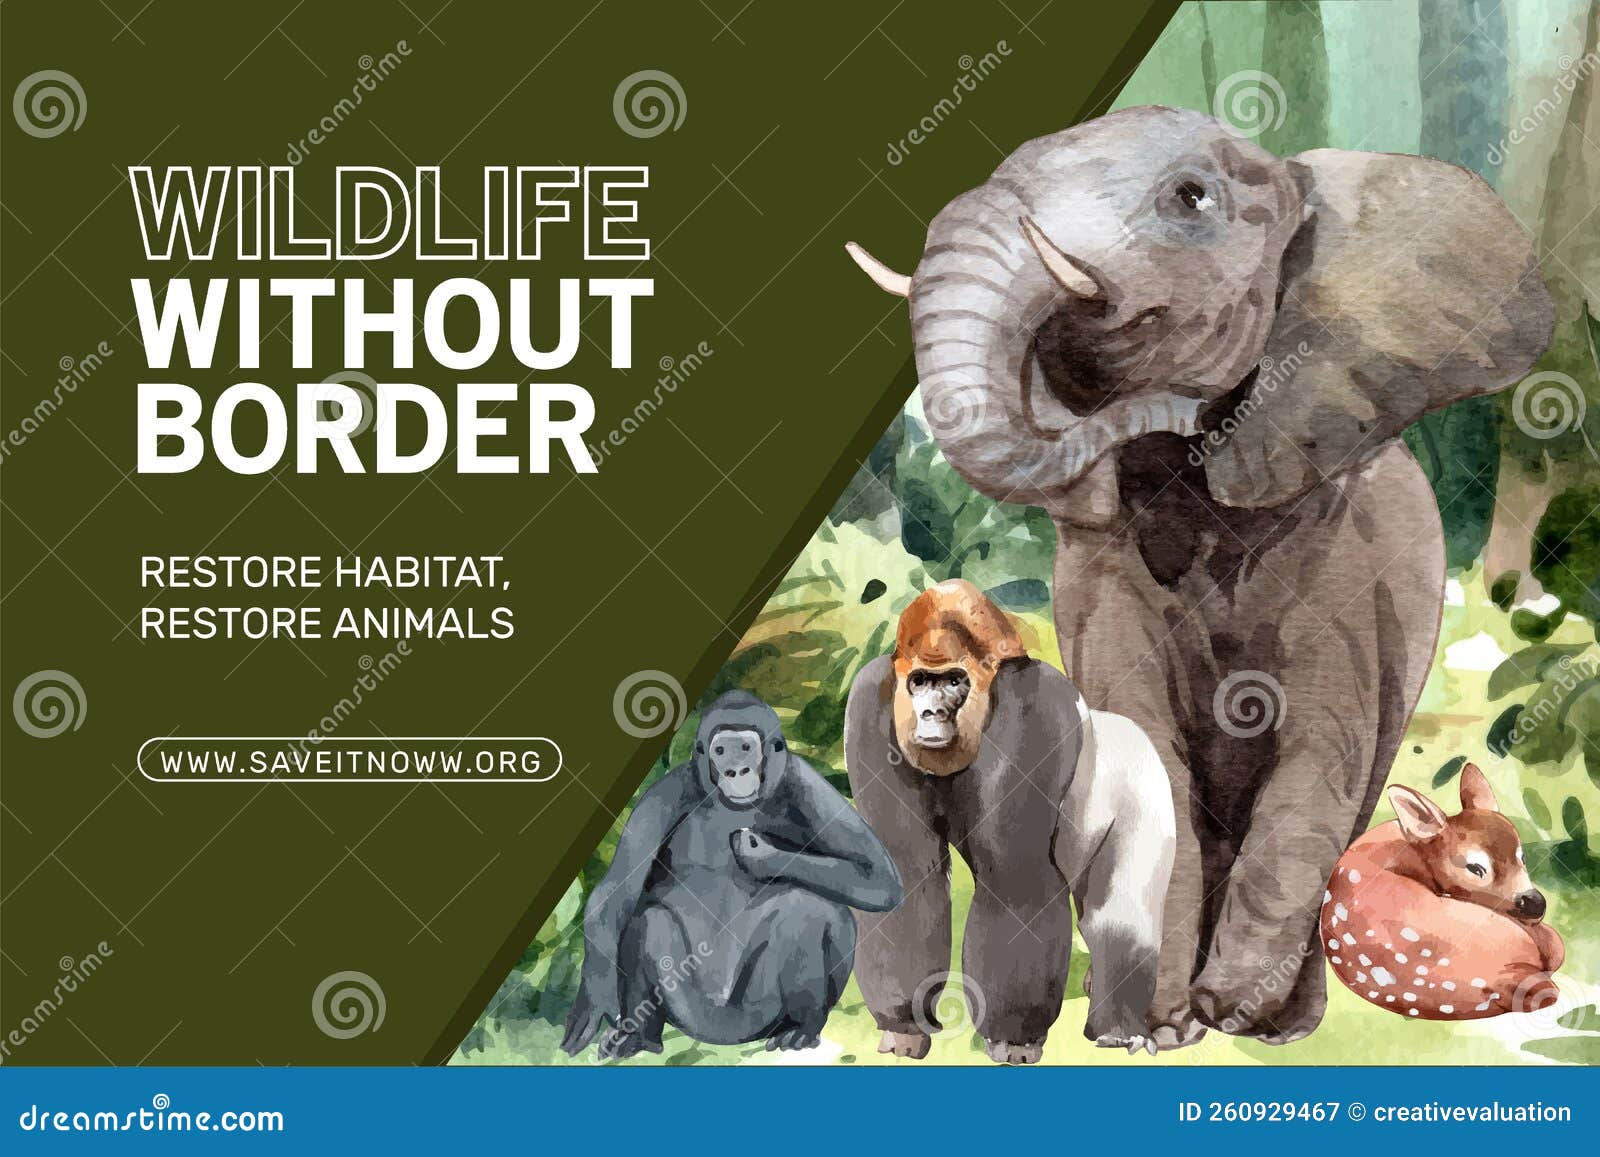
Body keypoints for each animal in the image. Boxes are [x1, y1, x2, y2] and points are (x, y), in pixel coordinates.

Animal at [562, 691, 903, 1058]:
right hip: (695, 1011)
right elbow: (615, 893)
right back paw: (640, 1036)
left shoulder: (805, 781)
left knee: (807, 909)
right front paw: (595, 1000)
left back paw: (802, 1026)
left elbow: (877, 876)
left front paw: (761, 855)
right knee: (649, 921)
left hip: (757, 1009)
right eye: (721, 750)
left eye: (746, 748)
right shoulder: (664, 794)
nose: (735, 769)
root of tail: (722, 1033)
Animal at [845, 579, 1175, 1063]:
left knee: (1120, 917)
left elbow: (1016, 878)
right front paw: (903, 1024)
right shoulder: (870, 698)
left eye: (954, 682)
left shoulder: (1032, 704)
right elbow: (906, 870)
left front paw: (1013, 1035)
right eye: (920, 681)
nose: (930, 714)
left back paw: (1117, 1026)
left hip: (1148, 783)